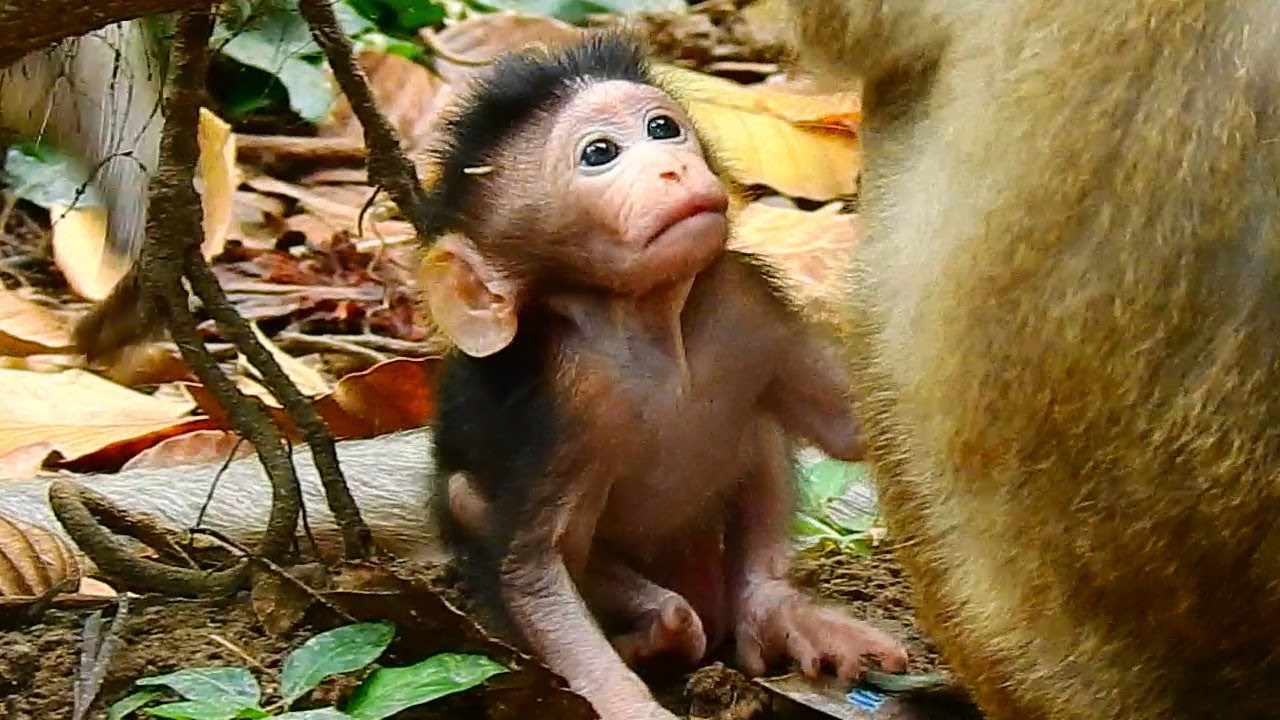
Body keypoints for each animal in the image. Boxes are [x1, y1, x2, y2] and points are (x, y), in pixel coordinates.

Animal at [416, 31, 909, 720]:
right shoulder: (566, 397)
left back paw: (772, 611)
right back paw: (658, 633)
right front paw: (626, 700)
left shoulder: (743, 300)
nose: (672, 168)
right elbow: (534, 568)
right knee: (477, 502)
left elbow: (852, 427)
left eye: (662, 128)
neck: (653, 328)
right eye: (600, 153)